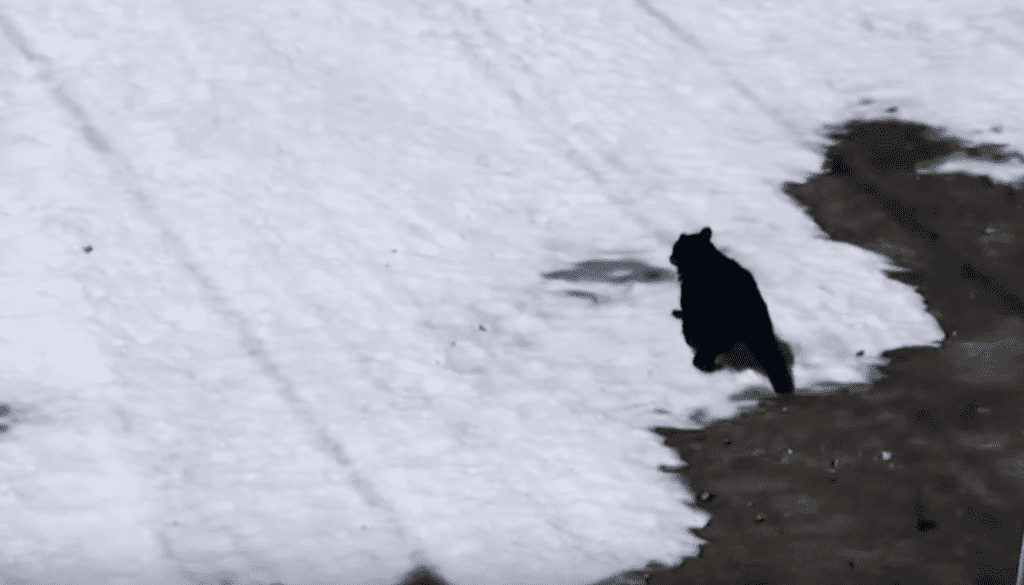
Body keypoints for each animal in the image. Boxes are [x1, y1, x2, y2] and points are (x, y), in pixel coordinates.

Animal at [669, 227, 795, 394]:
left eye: (676, 248)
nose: (670, 257)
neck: (704, 260)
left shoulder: (690, 306)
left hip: (709, 329)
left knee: (705, 352)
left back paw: (700, 365)